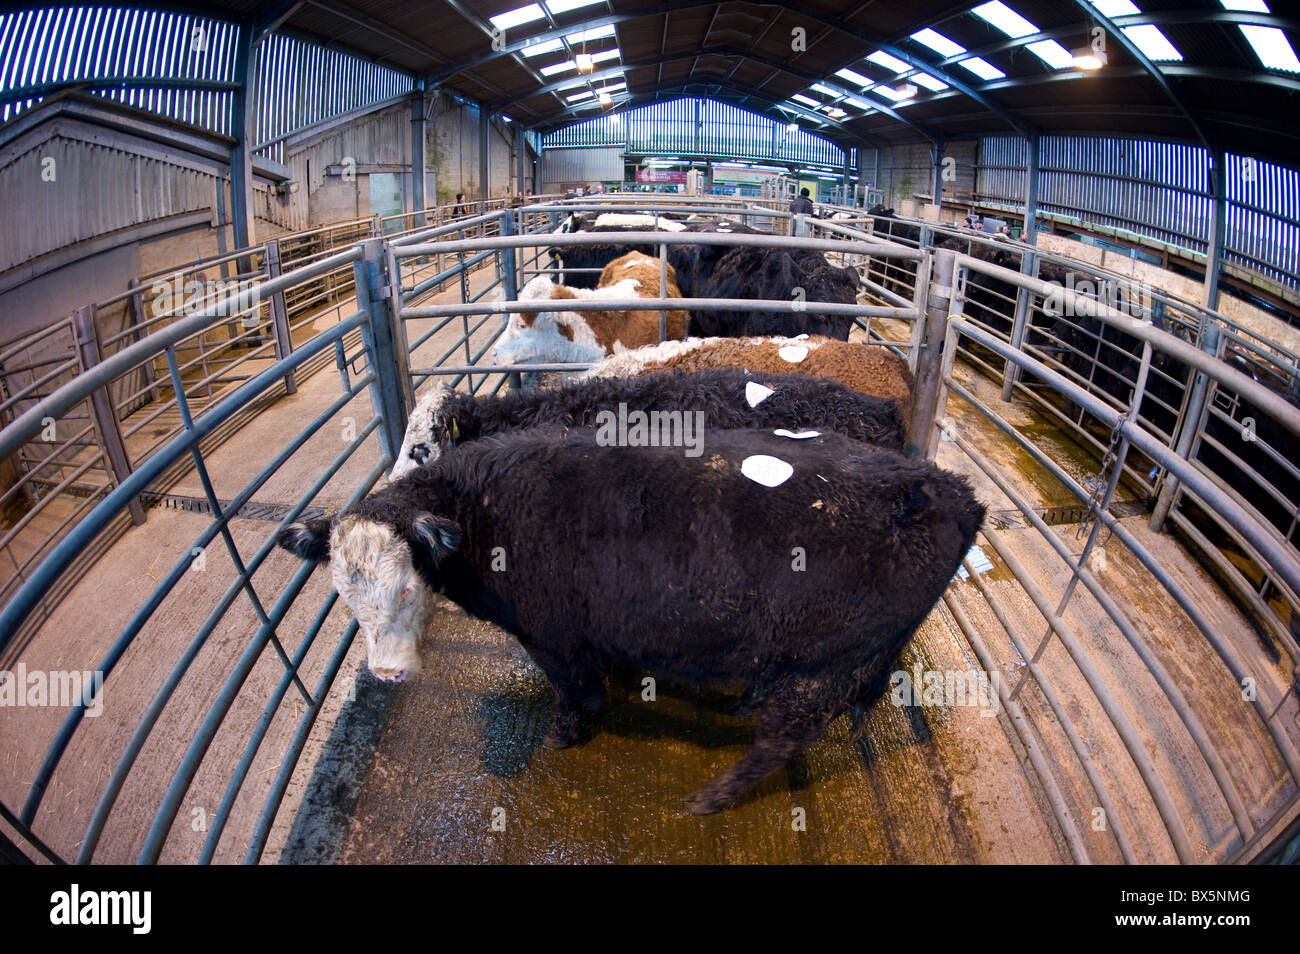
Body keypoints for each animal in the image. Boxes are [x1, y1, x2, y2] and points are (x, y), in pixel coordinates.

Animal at [278, 427, 985, 813]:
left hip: (822, 664)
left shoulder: (553, 638)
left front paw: (564, 735)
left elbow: (574, 693)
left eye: (408, 584)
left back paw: (713, 797)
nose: (387, 674)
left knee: (787, 737)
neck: (481, 511)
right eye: (343, 593)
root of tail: (946, 487)